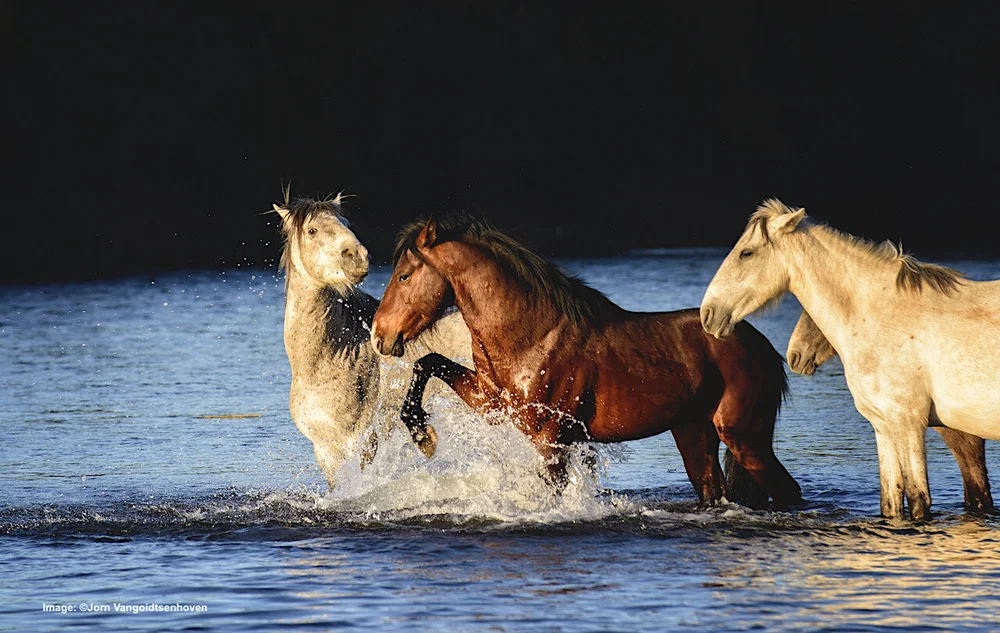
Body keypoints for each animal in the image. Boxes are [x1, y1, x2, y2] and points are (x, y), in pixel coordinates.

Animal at [369, 215, 804, 509]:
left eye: (404, 276)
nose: (379, 335)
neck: (533, 337)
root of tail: (763, 347)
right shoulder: (492, 402)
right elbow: (428, 363)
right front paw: (423, 436)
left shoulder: (550, 440)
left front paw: (423, 435)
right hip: (695, 433)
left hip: (744, 436)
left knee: (788, 491)